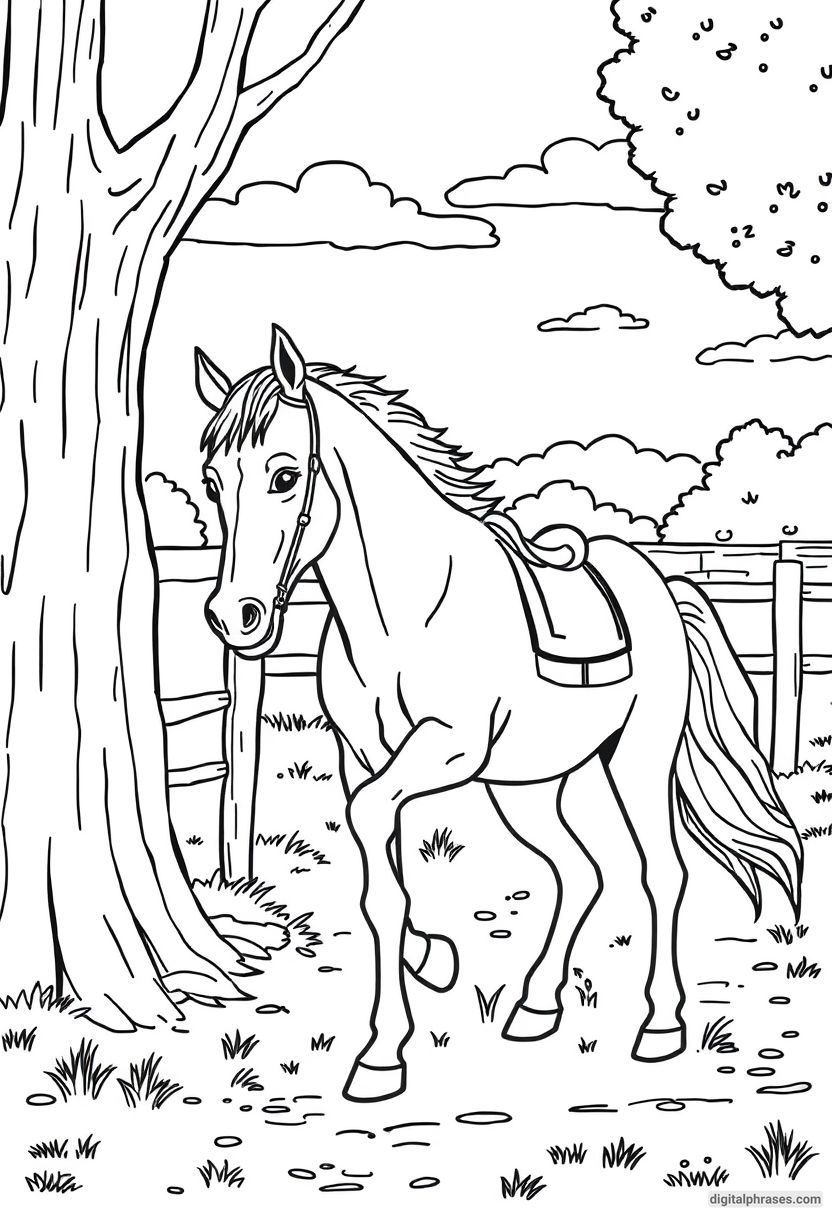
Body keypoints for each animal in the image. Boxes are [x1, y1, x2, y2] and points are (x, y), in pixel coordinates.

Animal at [194, 323, 802, 1103]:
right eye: (213, 481)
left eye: (284, 475)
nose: (233, 617)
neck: (403, 610)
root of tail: (662, 583)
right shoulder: (363, 758)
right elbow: (382, 878)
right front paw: (427, 963)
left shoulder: (447, 750)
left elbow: (372, 832)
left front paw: (382, 1053)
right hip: (532, 784)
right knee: (580, 872)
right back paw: (537, 1006)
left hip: (636, 763)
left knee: (662, 874)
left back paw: (660, 1026)